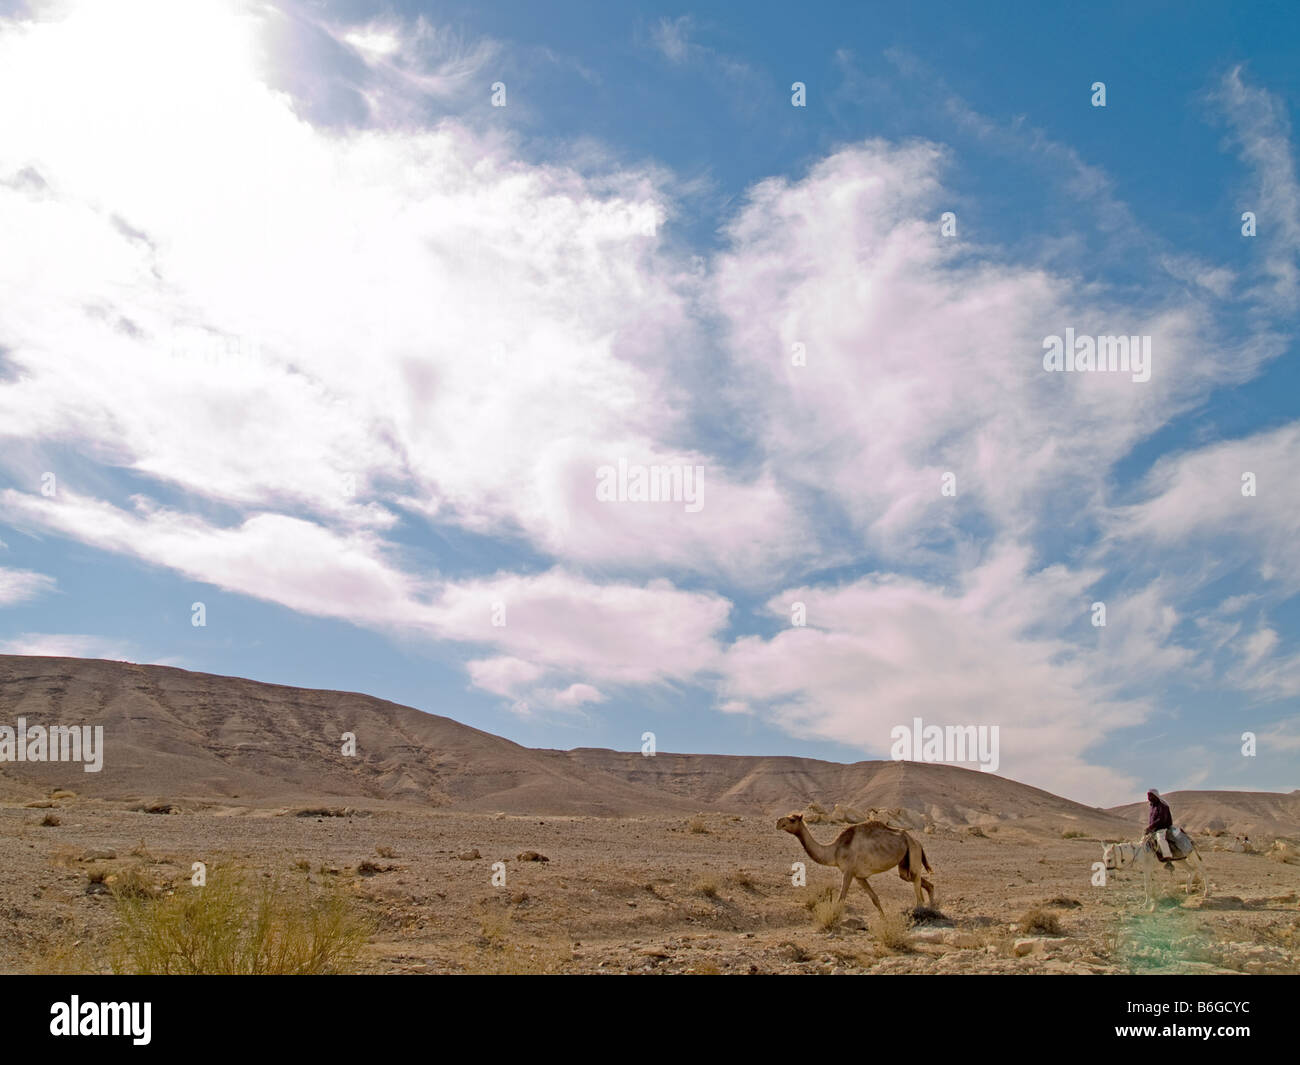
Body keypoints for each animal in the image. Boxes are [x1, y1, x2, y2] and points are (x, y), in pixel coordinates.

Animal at [777, 811, 936, 913]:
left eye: (792, 820)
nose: (778, 822)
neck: (835, 850)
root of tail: (918, 843)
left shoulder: (848, 871)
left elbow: (841, 898)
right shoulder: (859, 876)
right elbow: (875, 898)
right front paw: (884, 920)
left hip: (913, 853)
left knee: (917, 886)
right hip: (904, 864)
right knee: (923, 882)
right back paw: (933, 910)